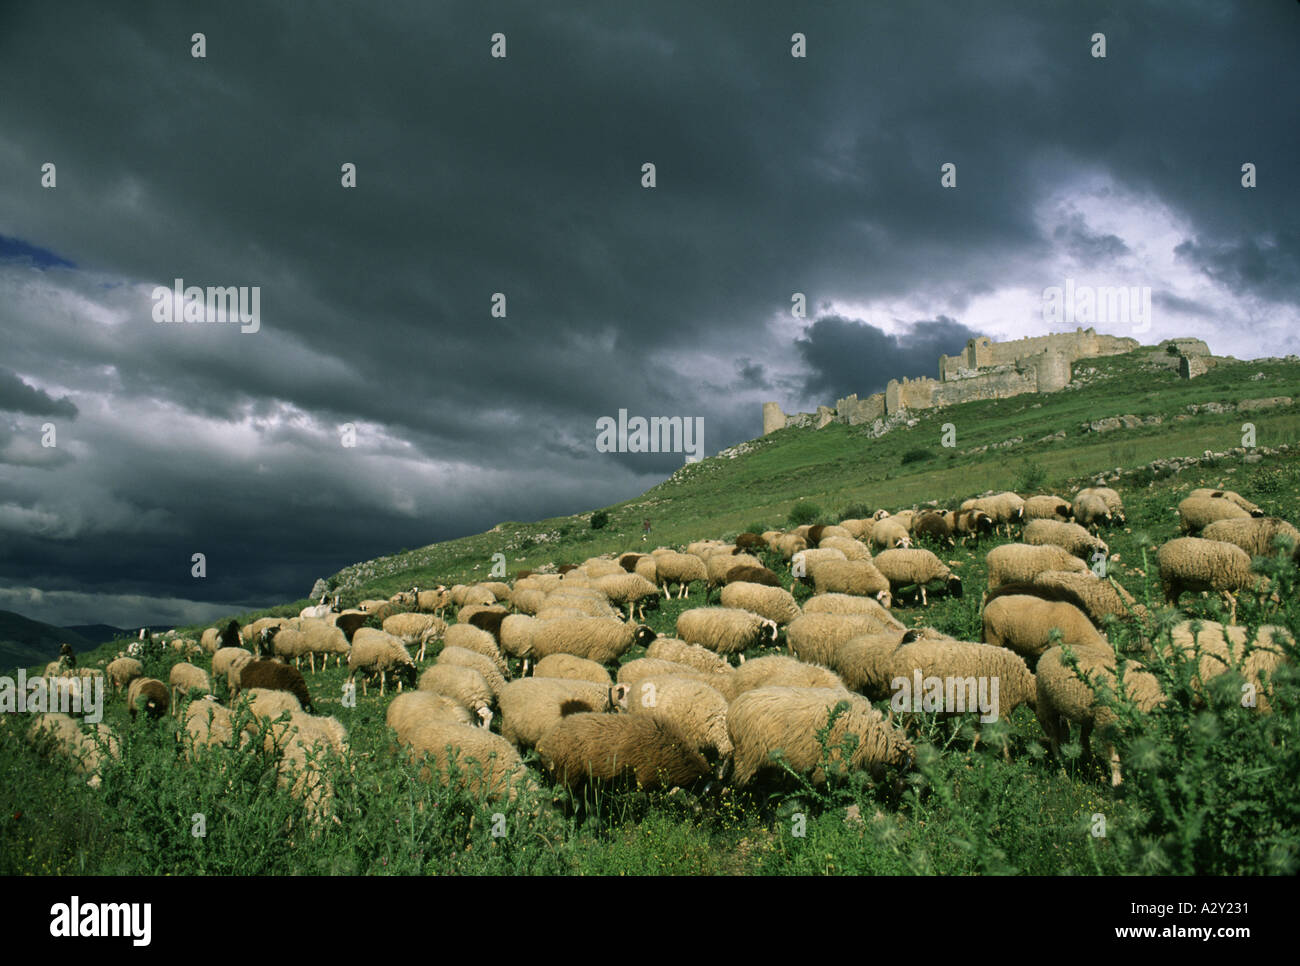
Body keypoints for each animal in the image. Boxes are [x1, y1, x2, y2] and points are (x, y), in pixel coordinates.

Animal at [1035, 643, 1164, 785]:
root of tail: (1052, 649)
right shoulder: (1108, 723)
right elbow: (1115, 762)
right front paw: (1116, 784)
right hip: (1047, 706)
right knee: (1054, 740)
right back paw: (1062, 771)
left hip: (1086, 716)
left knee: (1082, 740)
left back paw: (1094, 770)